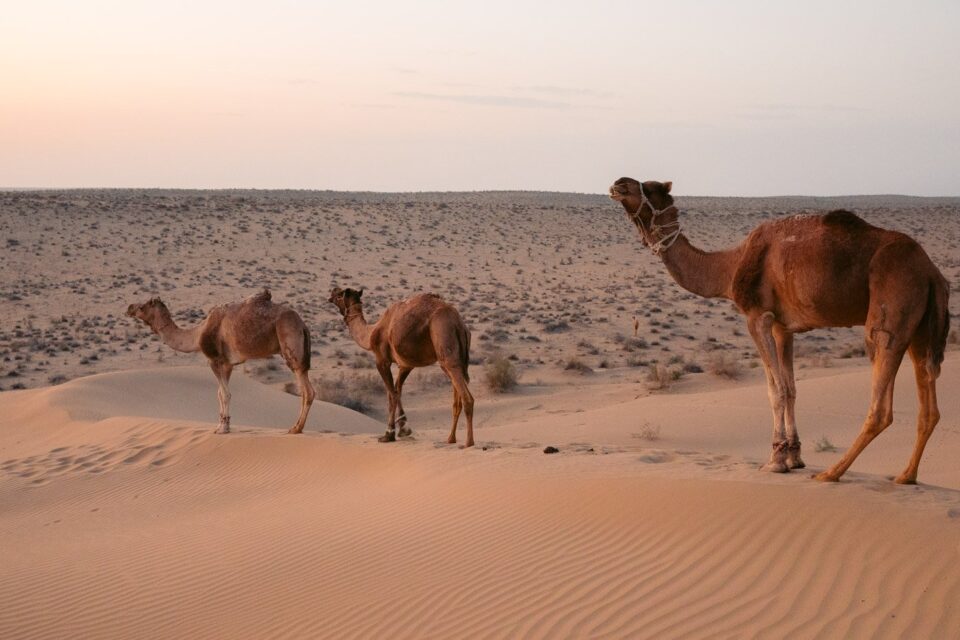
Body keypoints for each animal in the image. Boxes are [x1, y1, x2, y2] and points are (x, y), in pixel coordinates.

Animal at [126, 289, 315, 434]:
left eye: (142, 306)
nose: (129, 308)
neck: (197, 334)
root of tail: (303, 325)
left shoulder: (214, 359)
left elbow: (224, 394)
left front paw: (223, 429)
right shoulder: (227, 364)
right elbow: (220, 393)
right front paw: (223, 425)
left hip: (291, 345)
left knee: (307, 391)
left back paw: (295, 428)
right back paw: (297, 427)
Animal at [328, 287, 475, 446]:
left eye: (339, 295)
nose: (331, 294)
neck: (371, 333)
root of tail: (459, 324)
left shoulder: (382, 360)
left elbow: (391, 394)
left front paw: (388, 434)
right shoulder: (405, 364)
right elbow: (397, 390)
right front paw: (404, 428)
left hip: (445, 343)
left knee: (467, 398)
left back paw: (469, 442)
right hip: (456, 359)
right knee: (456, 400)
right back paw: (451, 439)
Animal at [610, 177, 950, 483]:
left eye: (649, 187)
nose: (618, 184)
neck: (730, 267)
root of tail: (931, 271)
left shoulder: (757, 316)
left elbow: (775, 389)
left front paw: (775, 460)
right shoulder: (783, 327)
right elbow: (791, 388)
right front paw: (794, 456)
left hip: (890, 312)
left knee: (881, 404)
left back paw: (831, 473)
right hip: (920, 329)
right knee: (929, 406)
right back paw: (906, 476)